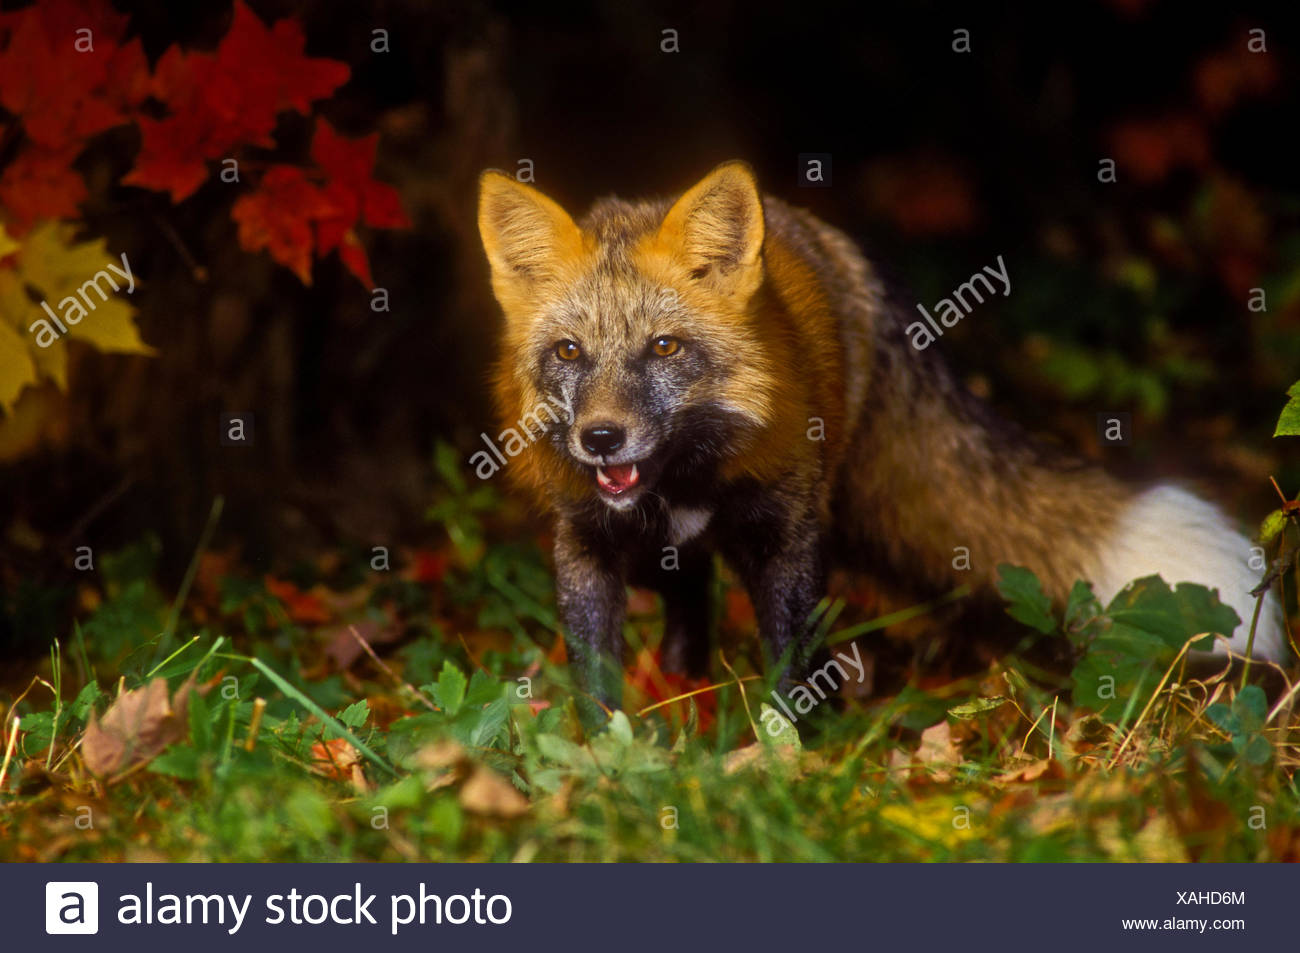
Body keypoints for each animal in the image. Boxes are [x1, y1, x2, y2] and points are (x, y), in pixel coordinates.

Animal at [476, 160, 1288, 705]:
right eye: (568, 353)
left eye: (665, 348)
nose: (601, 439)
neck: (685, 481)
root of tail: (832, 241)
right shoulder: (583, 543)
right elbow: (594, 681)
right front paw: (605, 764)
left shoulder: (788, 533)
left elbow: (790, 663)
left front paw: (786, 758)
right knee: (687, 599)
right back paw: (683, 685)